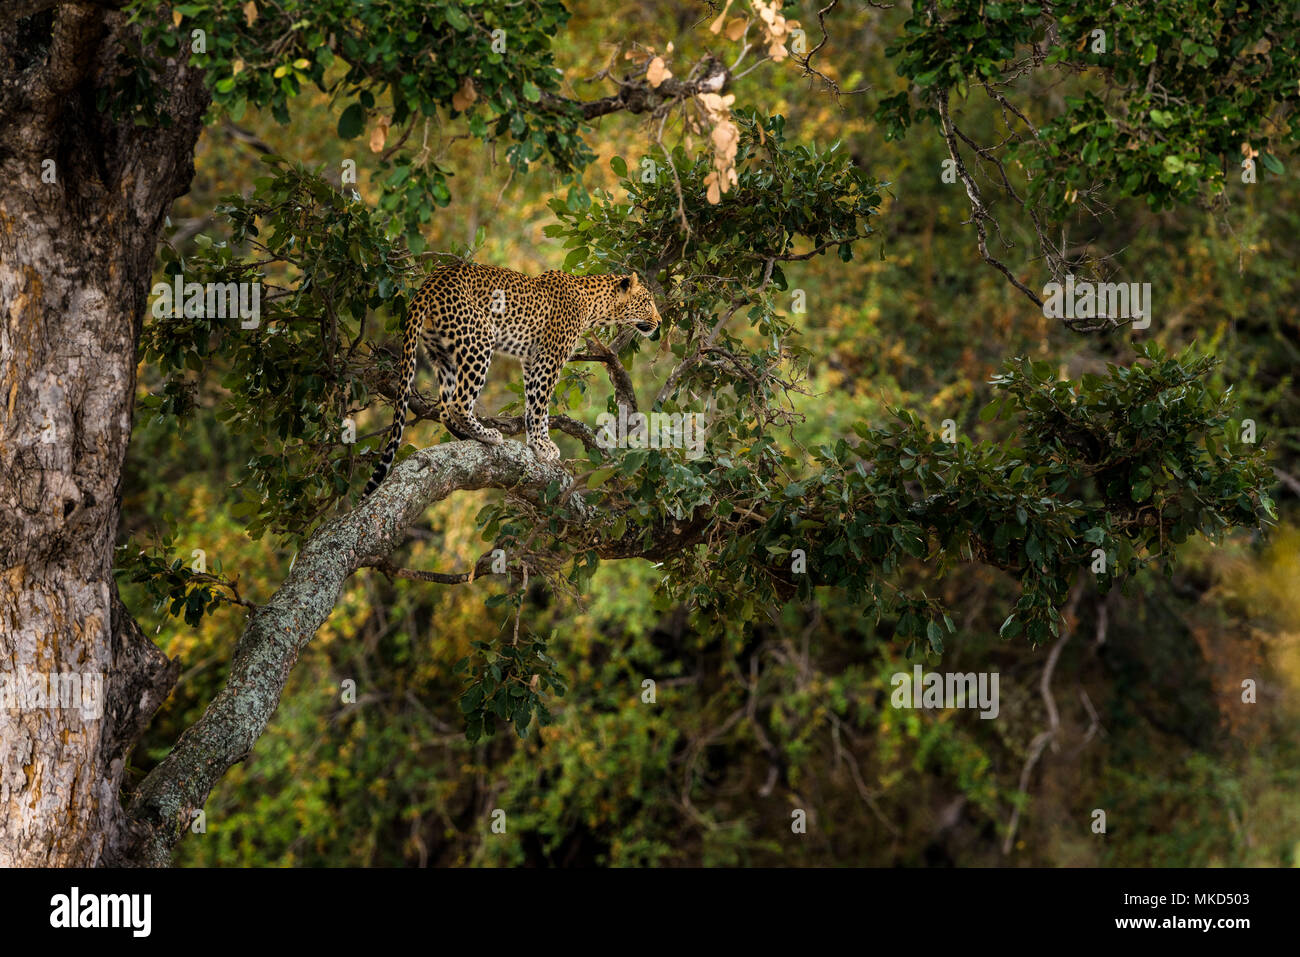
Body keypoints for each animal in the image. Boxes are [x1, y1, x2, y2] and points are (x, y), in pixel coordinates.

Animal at [363, 263, 662, 496]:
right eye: (647, 302)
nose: (659, 322)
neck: (594, 304)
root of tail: (429, 284)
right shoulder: (550, 358)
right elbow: (540, 405)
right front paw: (542, 446)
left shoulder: (531, 360)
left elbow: (533, 404)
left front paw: (538, 442)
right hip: (479, 340)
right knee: (459, 402)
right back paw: (487, 434)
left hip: (442, 354)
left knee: (446, 407)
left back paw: (466, 434)